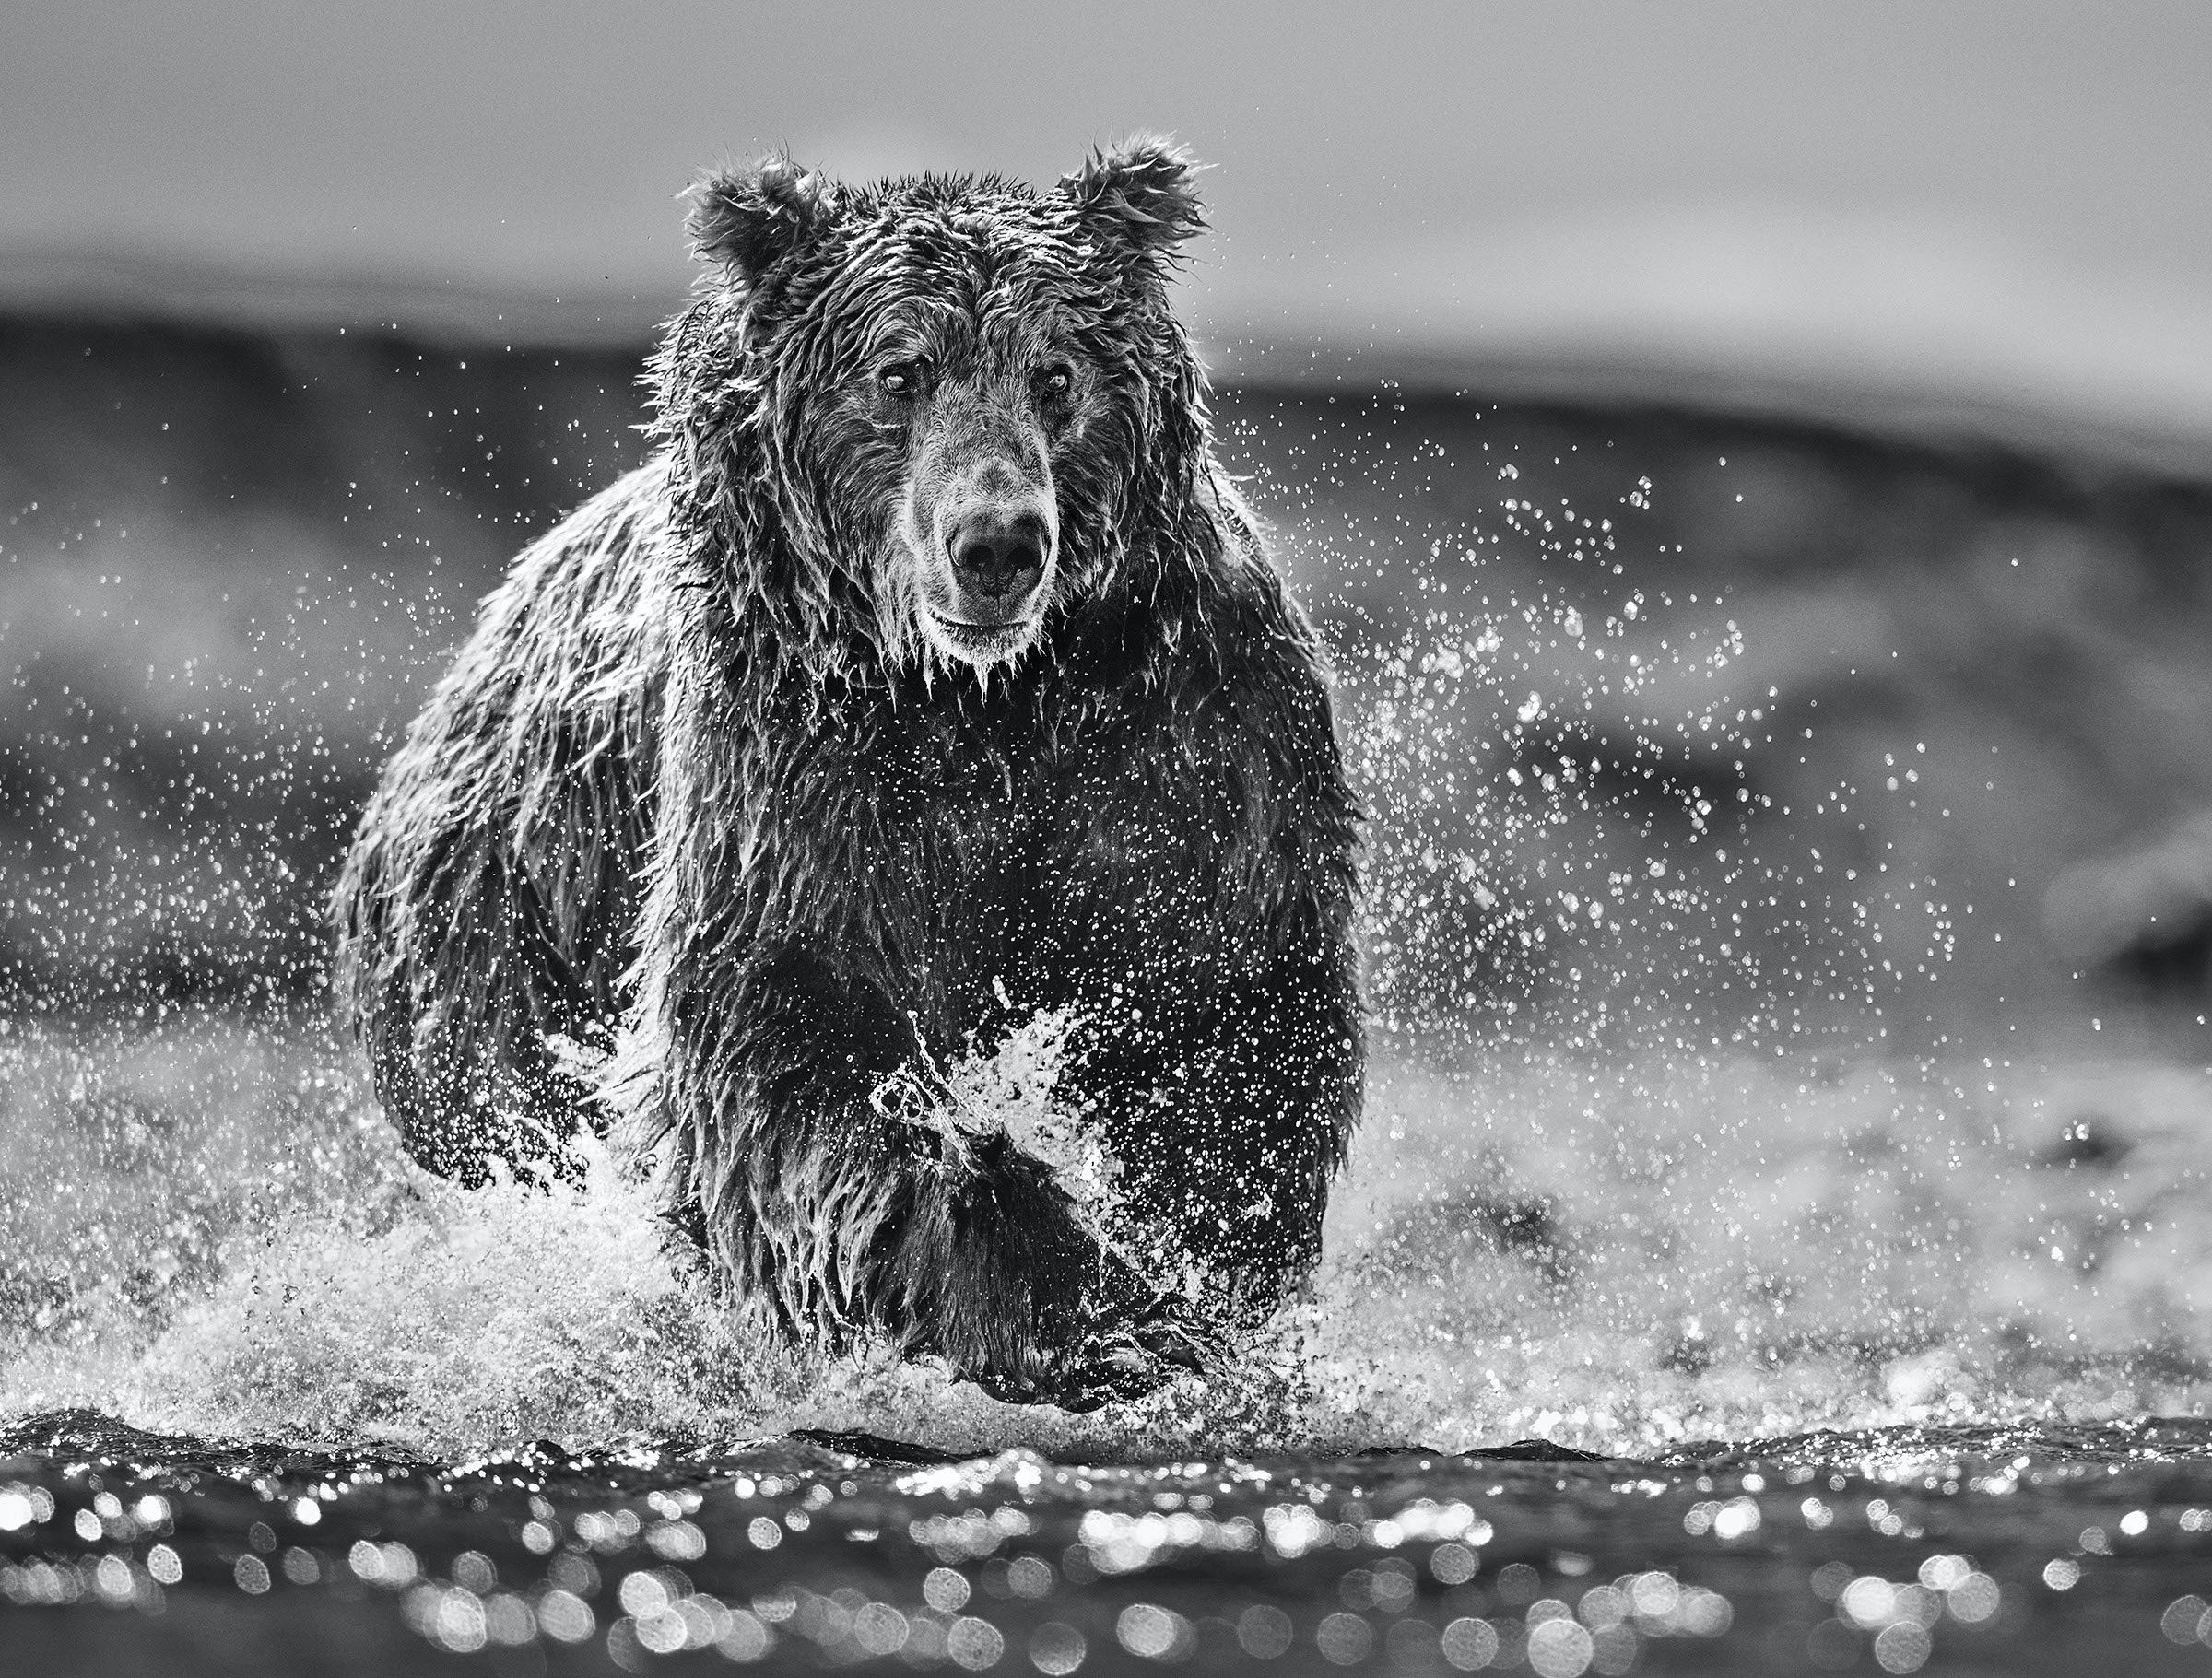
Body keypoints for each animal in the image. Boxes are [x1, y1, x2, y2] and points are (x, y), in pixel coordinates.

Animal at [332, 138, 1362, 1409]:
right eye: (901, 372)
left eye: (1057, 374)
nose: (998, 543)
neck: (978, 702)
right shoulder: (796, 768)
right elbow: (784, 1045)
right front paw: (1059, 1292)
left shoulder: (1178, 733)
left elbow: (1223, 1011)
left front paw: (1171, 1290)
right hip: (501, 932)